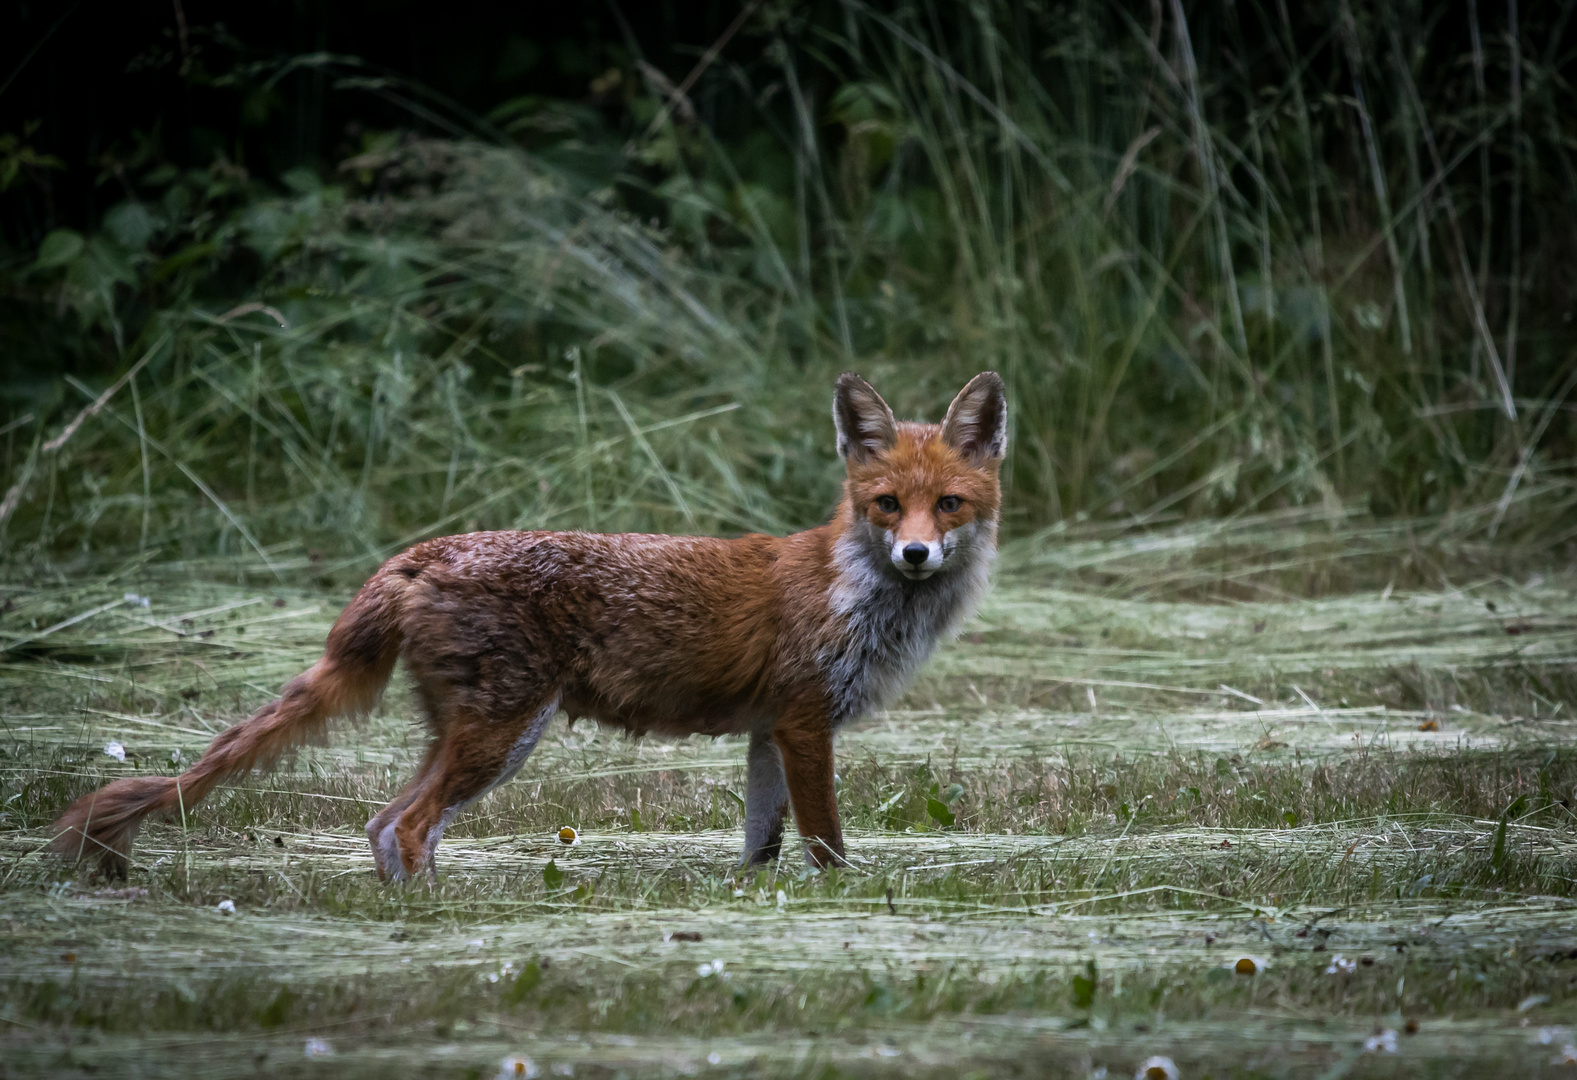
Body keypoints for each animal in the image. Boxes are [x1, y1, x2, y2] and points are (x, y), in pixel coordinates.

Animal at [50, 371, 1007, 879]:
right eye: (885, 505)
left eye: (947, 505)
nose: (915, 554)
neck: (857, 591)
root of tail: (422, 552)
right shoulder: (806, 723)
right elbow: (827, 842)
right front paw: (843, 900)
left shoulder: (767, 732)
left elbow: (760, 846)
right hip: (505, 733)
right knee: (405, 825)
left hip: (467, 734)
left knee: (384, 825)